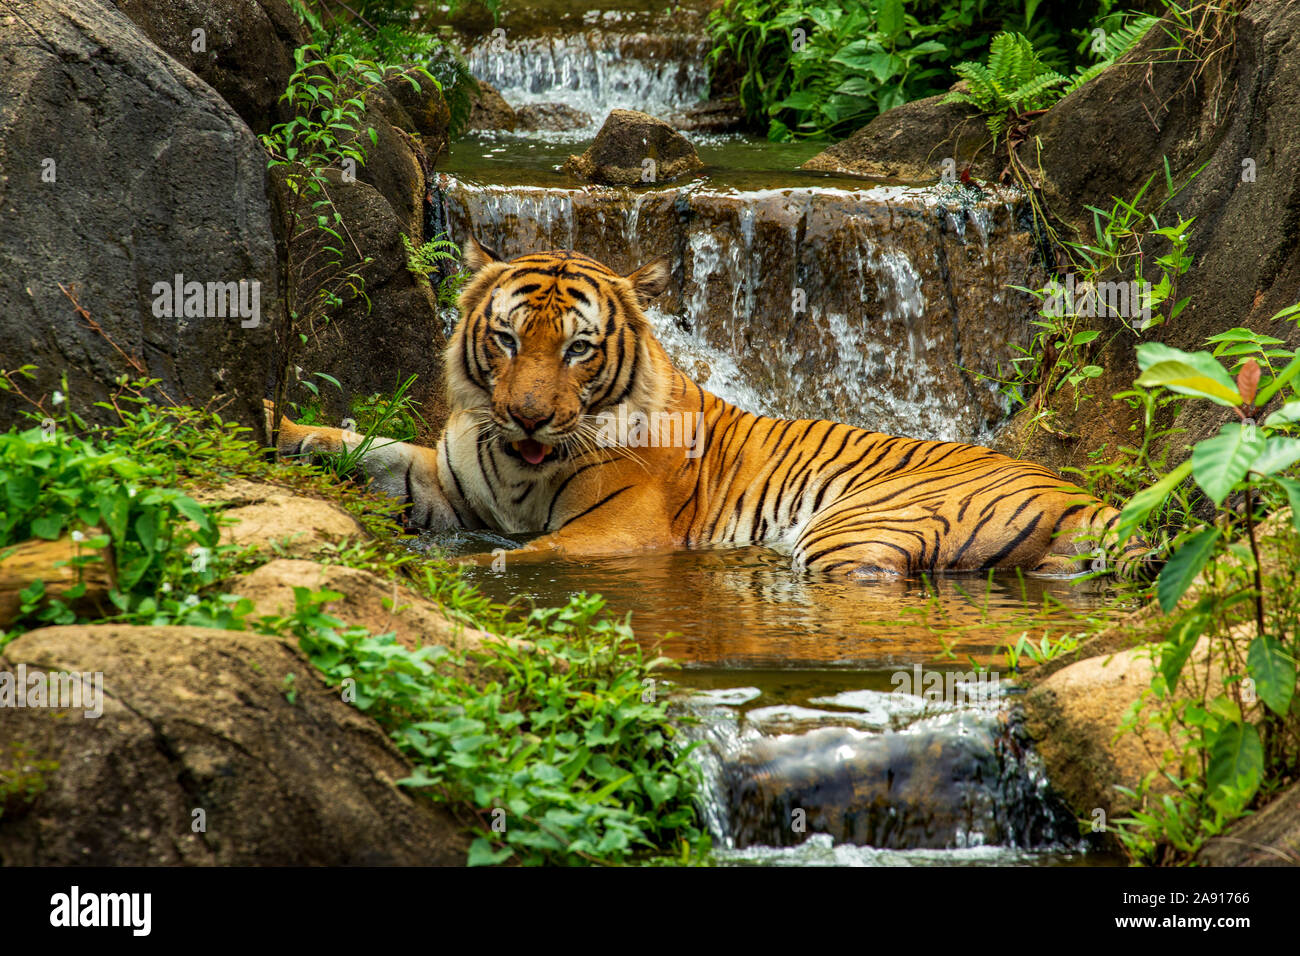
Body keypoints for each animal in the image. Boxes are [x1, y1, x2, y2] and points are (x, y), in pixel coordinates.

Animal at [270, 238, 1152, 579]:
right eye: (508, 339)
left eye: (578, 349)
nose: (525, 417)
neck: (521, 466)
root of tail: (1078, 489)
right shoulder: (452, 481)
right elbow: (373, 446)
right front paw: (283, 429)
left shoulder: (620, 531)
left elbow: (527, 555)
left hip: (855, 531)